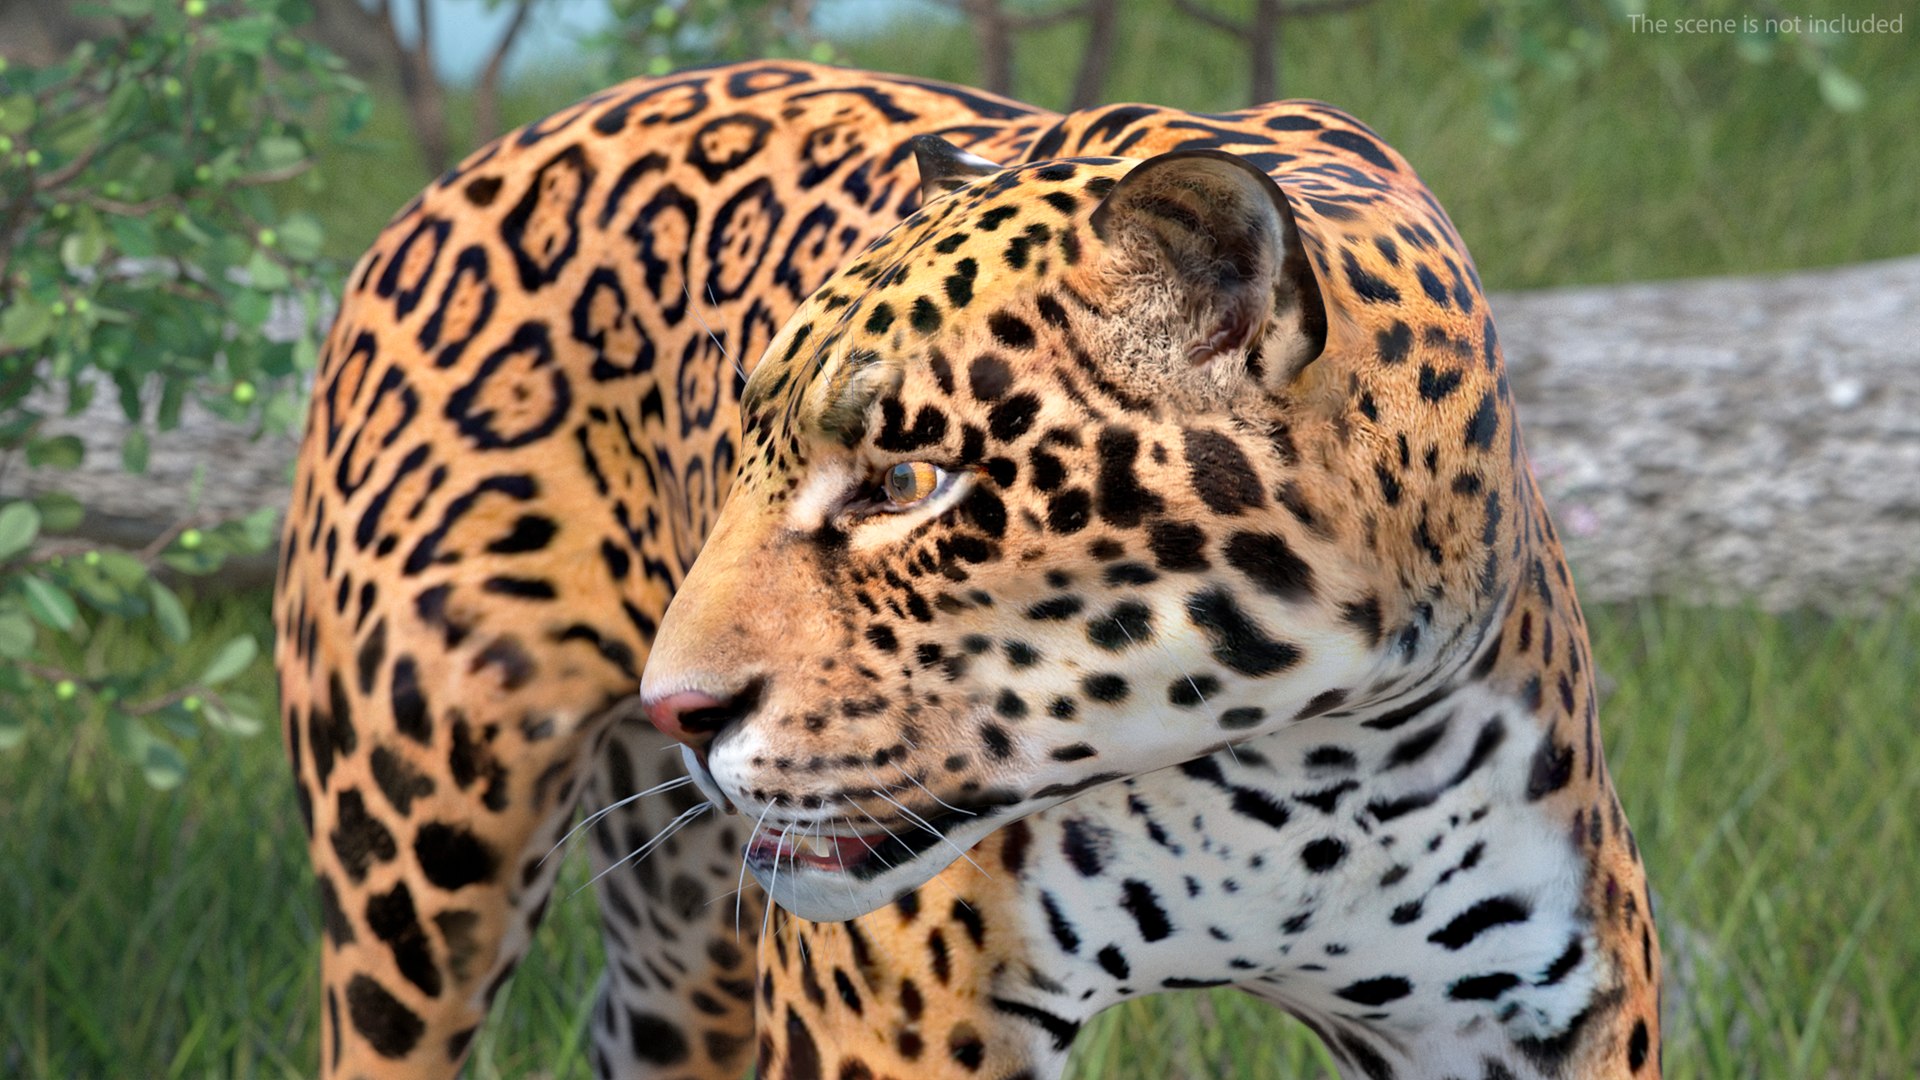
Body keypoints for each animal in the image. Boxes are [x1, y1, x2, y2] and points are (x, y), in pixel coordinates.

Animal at [276, 60, 1661, 1080]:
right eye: (738, 454)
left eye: (906, 483)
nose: (683, 713)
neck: (1293, 779)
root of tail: (471, 166)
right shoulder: (885, 1033)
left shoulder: (1546, 1009)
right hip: (419, 849)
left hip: (679, 920)